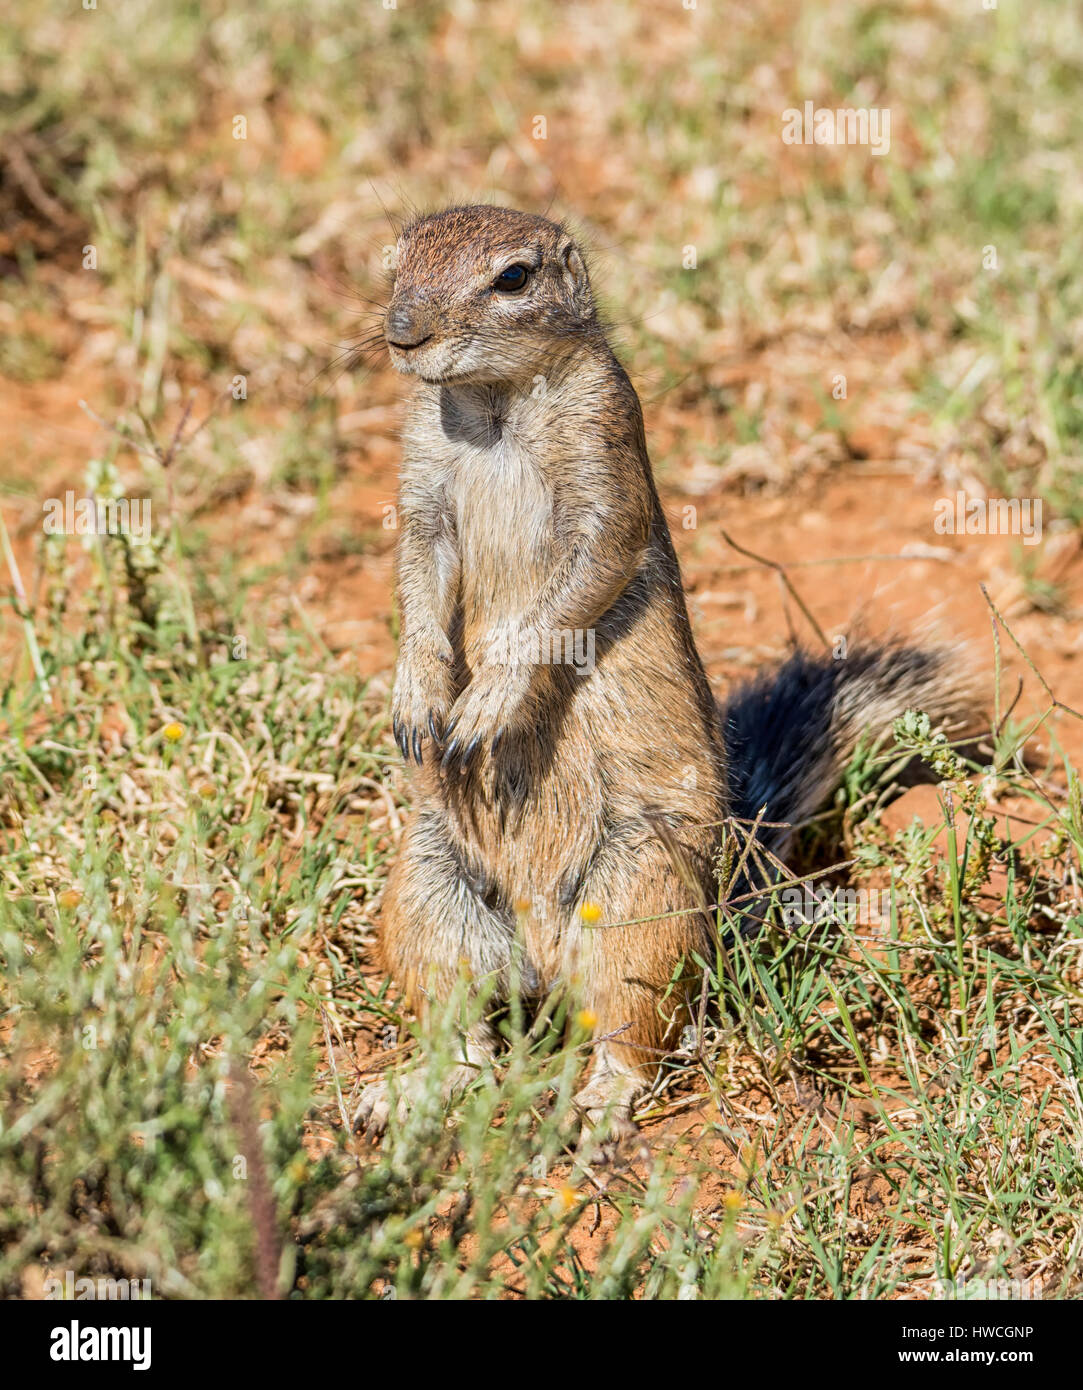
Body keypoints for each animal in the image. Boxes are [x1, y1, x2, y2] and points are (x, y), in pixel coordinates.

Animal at [353, 204, 979, 1137]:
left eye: (512, 278)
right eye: (395, 260)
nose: (402, 333)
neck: (494, 403)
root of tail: (542, 957)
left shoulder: (603, 455)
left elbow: (574, 589)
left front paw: (488, 703)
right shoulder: (422, 484)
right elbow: (417, 583)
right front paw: (417, 697)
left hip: (636, 896)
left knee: (630, 1029)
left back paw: (598, 1103)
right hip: (431, 890)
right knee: (465, 1035)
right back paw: (407, 1092)